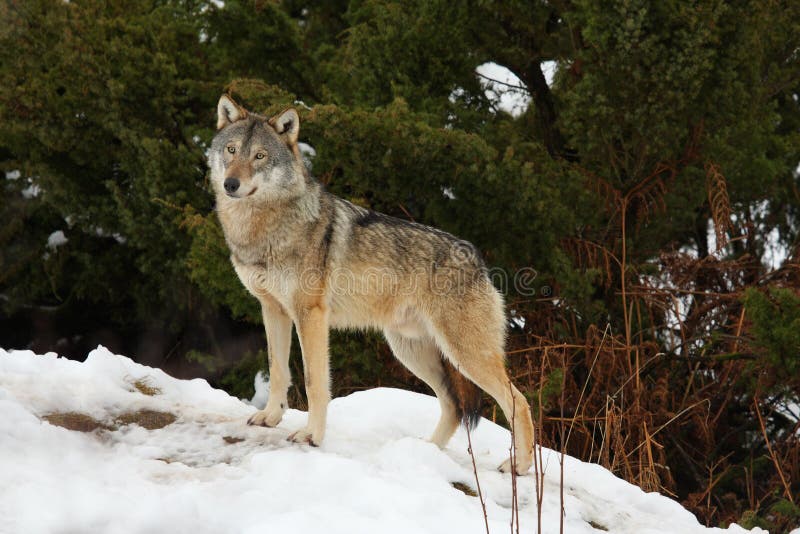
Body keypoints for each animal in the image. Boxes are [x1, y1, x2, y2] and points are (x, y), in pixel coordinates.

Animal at [209, 95, 534, 474]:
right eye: (231, 150)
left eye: (260, 155)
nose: (231, 184)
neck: (264, 228)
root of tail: (479, 259)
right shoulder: (273, 310)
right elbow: (278, 370)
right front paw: (270, 418)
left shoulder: (310, 316)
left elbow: (314, 381)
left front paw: (311, 436)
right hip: (410, 352)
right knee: (453, 406)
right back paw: (425, 453)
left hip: (464, 355)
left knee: (519, 402)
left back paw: (518, 466)